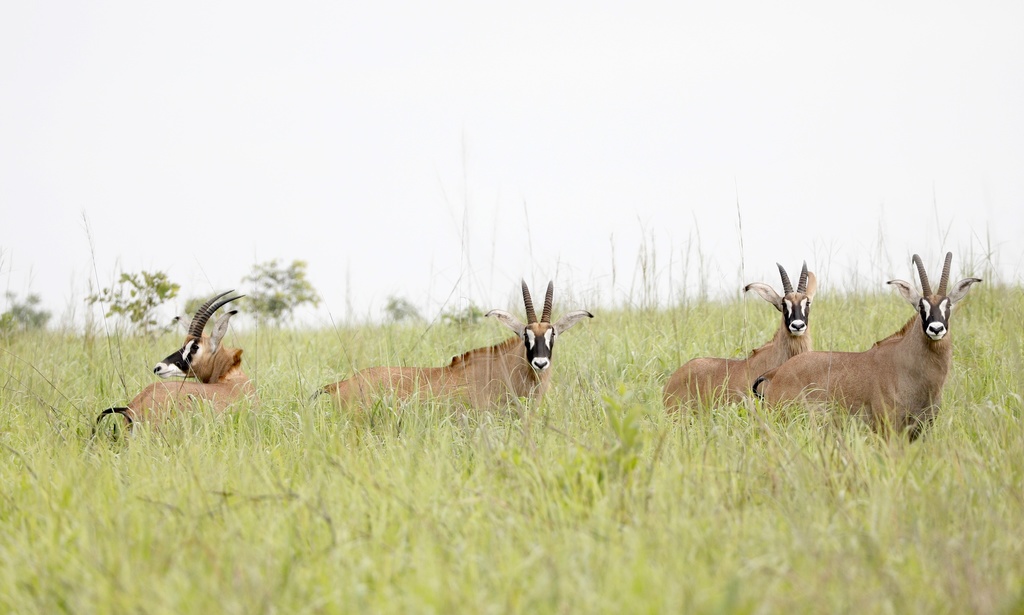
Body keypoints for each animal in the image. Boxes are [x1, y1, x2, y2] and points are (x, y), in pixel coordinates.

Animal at [752, 252, 981, 440]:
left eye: (948, 305)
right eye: (921, 306)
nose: (936, 328)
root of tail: (776, 373)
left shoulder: (922, 428)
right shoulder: (888, 427)